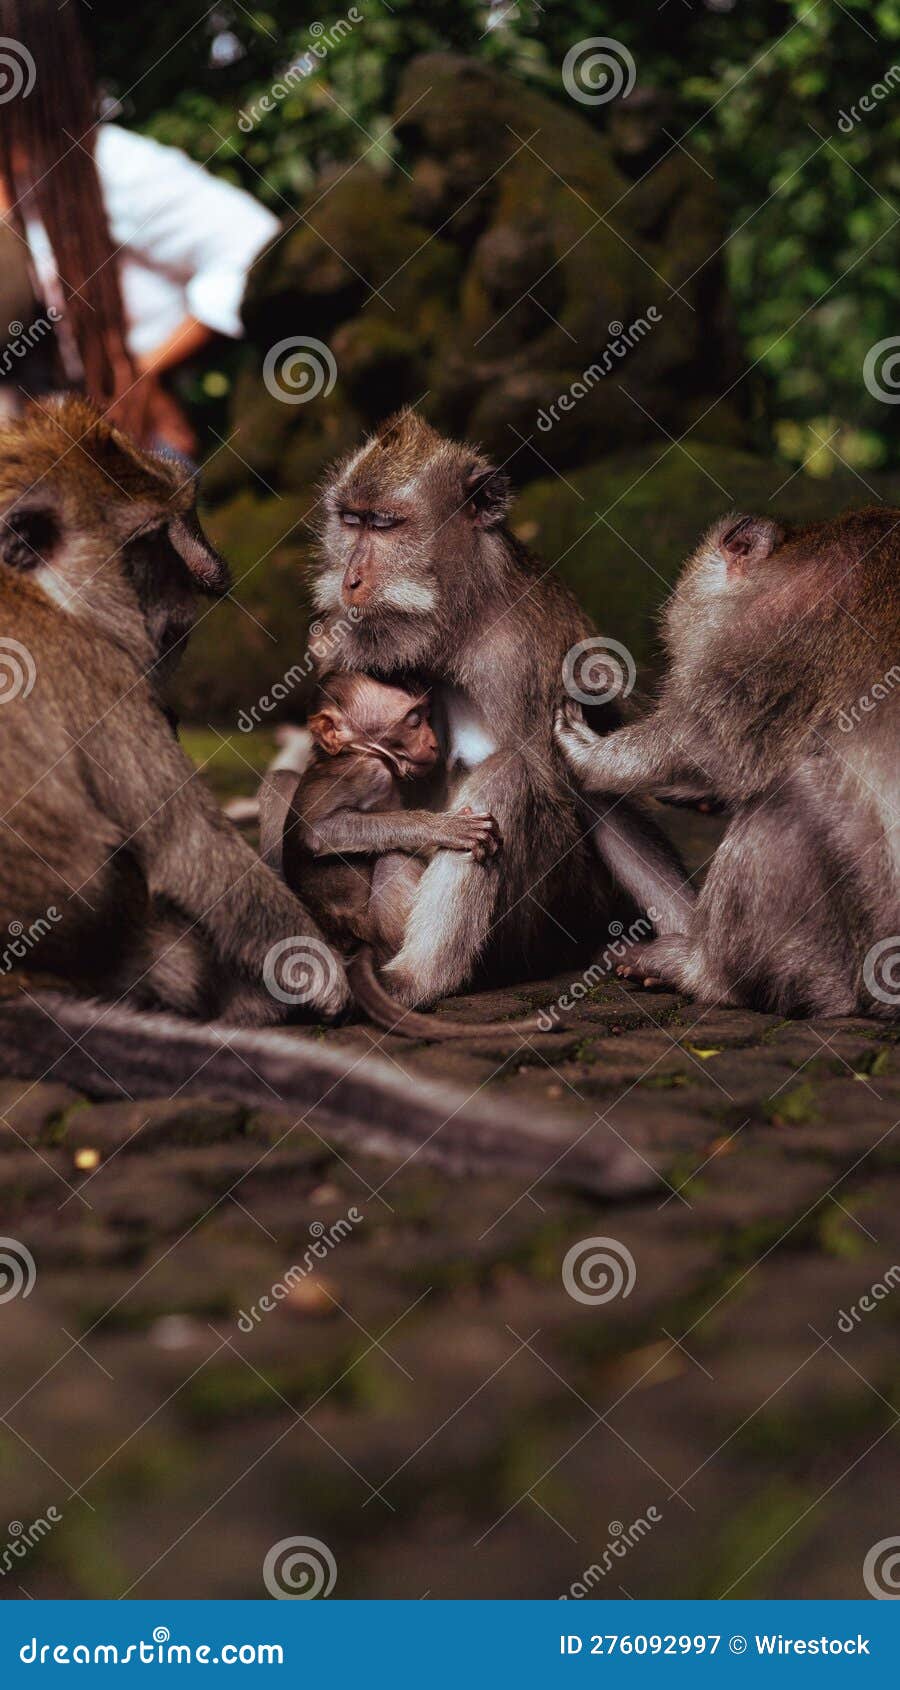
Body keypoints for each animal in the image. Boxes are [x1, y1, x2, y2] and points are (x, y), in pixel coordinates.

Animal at [259, 670, 585, 1040]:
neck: (350, 753)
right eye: (413, 721)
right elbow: (321, 832)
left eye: (426, 716)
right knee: (391, 859)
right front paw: (446, 827)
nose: (433, 742)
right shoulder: (368, 774)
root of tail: (350, 940)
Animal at [309, 408, 694, 1008]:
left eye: (385, 525)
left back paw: (417, 979)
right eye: (351, 521)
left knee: (509, 776)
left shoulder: (524, 664)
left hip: (545, 917)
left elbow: (584, 792)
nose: (350, 580)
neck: (464, 618)